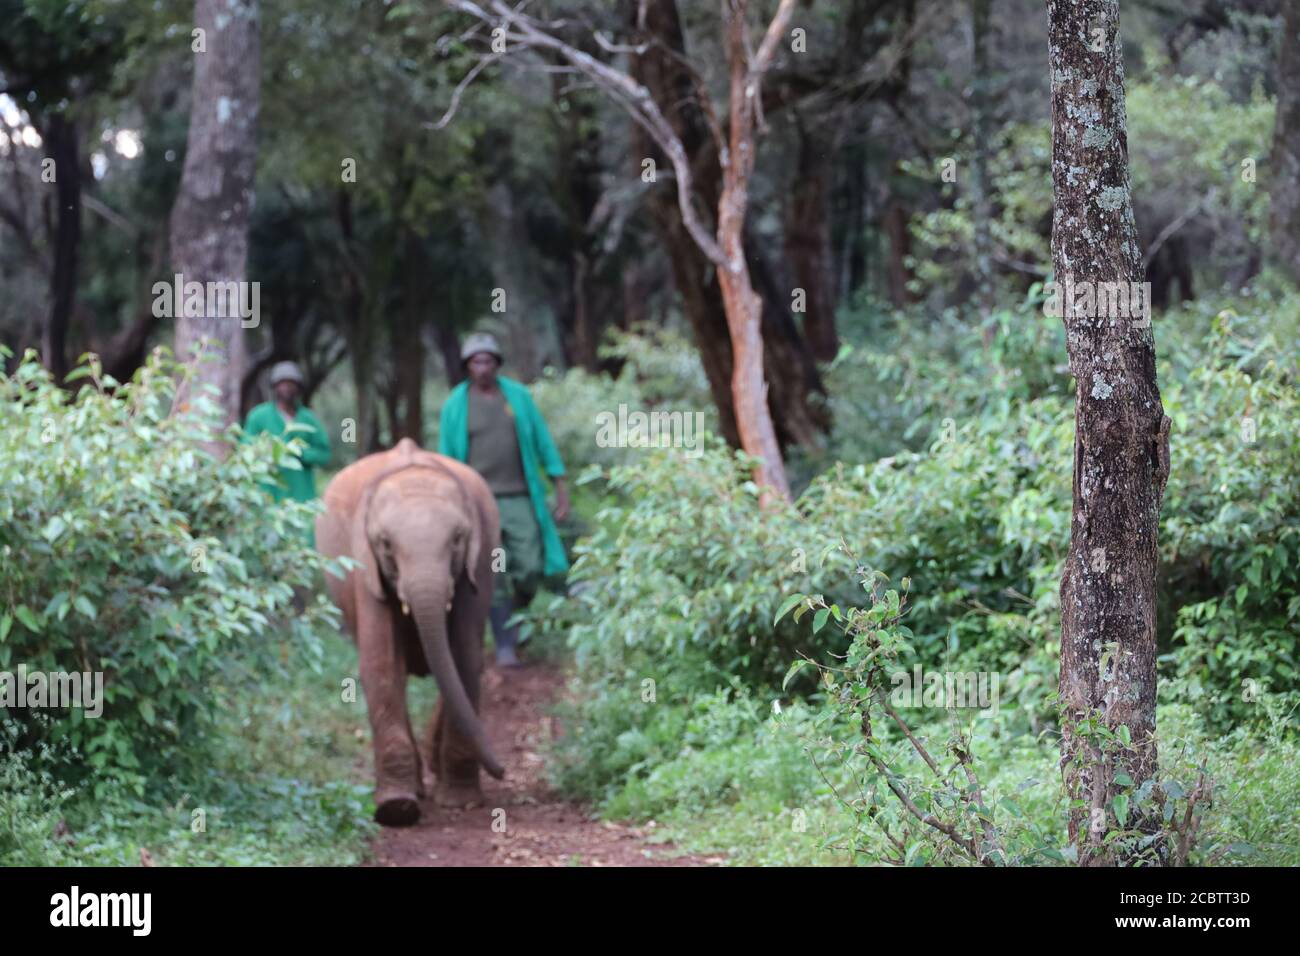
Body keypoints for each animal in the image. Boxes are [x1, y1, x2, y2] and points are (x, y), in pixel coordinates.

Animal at [316, 437, 506, 826]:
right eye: (386, 544)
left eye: (458, 539)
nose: (503, 770)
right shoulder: (365, 567)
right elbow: (382, 664)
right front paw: (396, 808)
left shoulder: (477, 564)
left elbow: (464, 659)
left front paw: (461, 802)